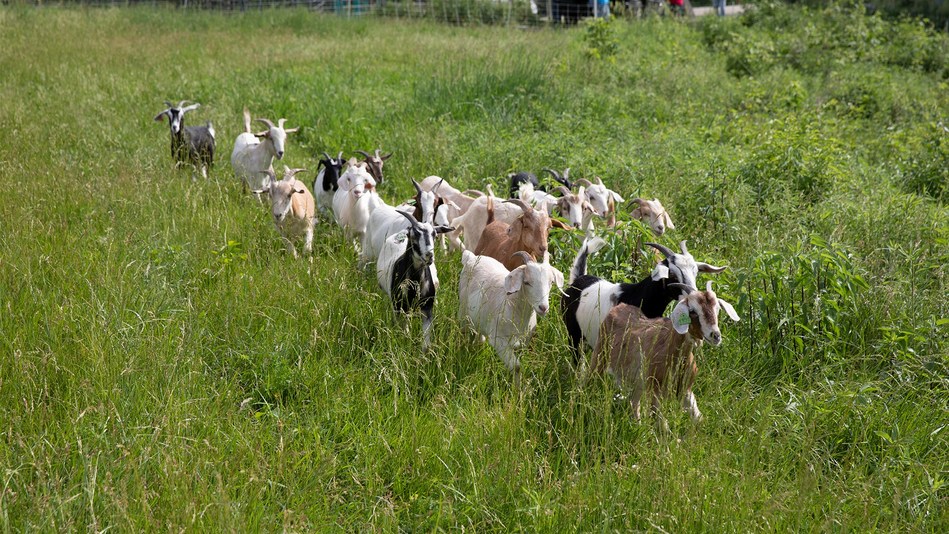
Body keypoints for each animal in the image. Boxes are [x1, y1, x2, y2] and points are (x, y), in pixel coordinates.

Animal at [376, 211, 454, 350]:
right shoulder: (399, 306)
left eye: (435, 234)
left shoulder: (427, 308)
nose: (429, 255)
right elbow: (403, 331)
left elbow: (426, 345)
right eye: (415, 234)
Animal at [562, 239, 727, 365]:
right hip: (573, 333)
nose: (694, 294)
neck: (637, 296)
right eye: (672, 274)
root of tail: (578, 279)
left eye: (696, 273)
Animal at [590, 281, 739, 427]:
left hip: (639, 382)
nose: (715, 335)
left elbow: (699, 420)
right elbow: (663, 426)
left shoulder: (685, 390)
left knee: (634, 402)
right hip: (600, 357)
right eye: (692, 311)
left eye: (717, 309)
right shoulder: (655, 390)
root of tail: (619, 307)